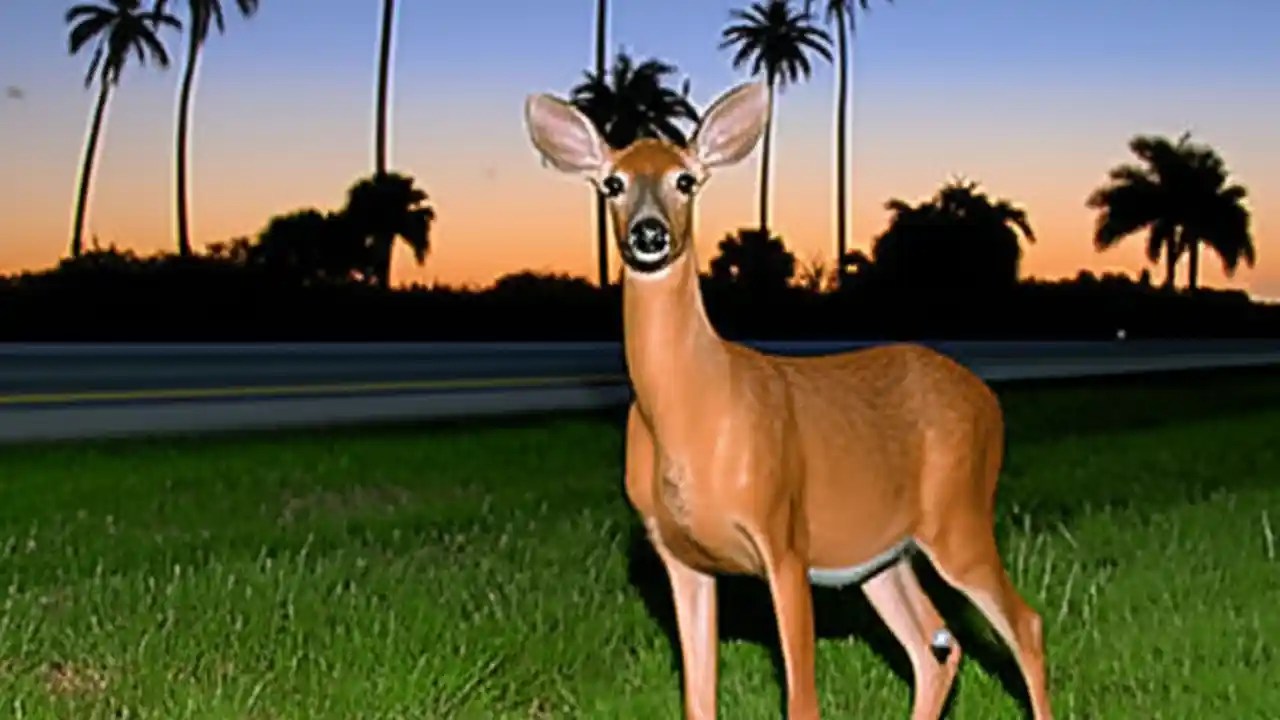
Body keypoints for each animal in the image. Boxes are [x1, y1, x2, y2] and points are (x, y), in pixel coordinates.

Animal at [523, 80, 1053, 720]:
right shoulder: (679, 557)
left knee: (1023, 625)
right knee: (936, 647)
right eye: (613, 184)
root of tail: (988, 399)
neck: (691, 410)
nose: (649, 234)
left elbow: (802, 698)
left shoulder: (783, 535)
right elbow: (697, 698)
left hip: (959, 513)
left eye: (685, 180)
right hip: (880, 552)